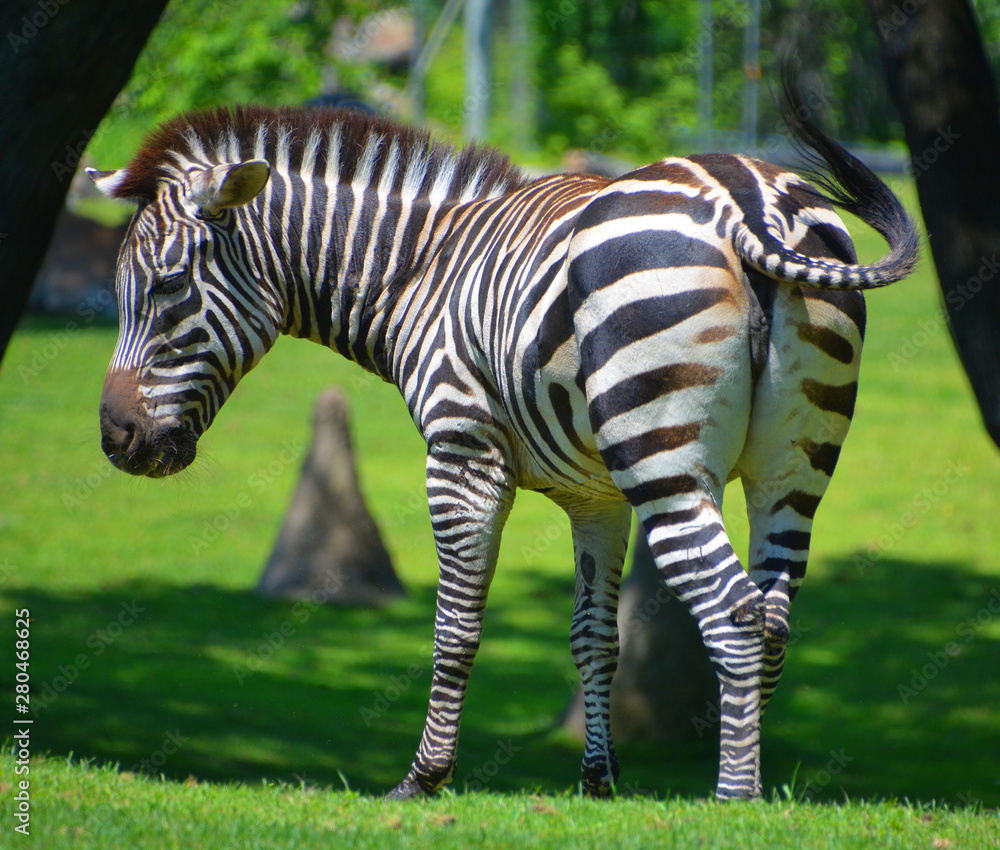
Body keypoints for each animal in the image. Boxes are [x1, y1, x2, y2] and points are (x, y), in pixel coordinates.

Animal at [87, 82, 917, 801]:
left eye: (167, 287)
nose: (115, 438)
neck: (423, 268)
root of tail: (749, 197)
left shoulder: (462, 451)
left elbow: (455, 627)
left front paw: (423, 779)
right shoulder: (598, 497)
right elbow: (594, 635)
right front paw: (599, 784)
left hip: (668, 464)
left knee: (736, 617)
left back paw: (732, 799)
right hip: (792, 471)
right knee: (772, 618)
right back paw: (757, 787)